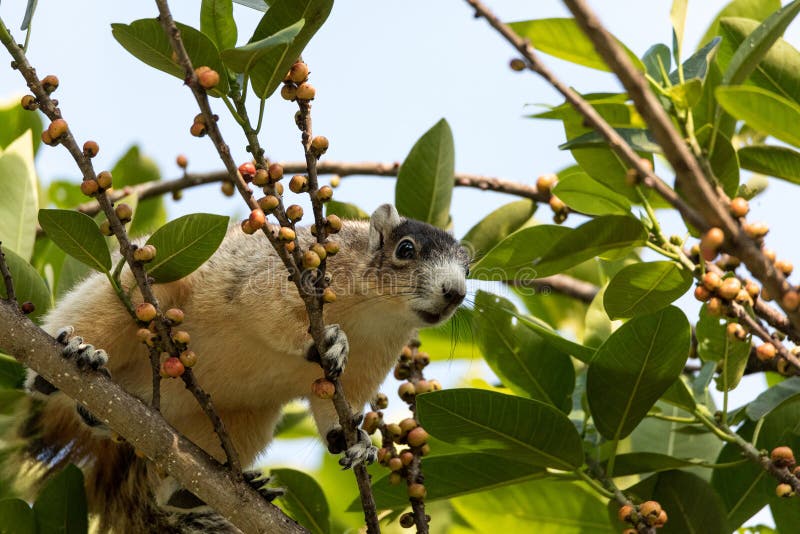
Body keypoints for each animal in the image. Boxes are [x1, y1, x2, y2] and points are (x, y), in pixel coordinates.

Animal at [13, 203, 469, 533]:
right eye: (405, 249)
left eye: (468, 269)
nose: (456, 292)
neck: (376, 311)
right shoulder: (285, 276)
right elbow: (265, 310)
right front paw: (324, 340)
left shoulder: (373, 359)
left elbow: (337, 405)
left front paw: (354, 440)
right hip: (128, 291)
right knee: (79, 333)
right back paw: (75, 352)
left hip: (245, 419)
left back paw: (199, 493)